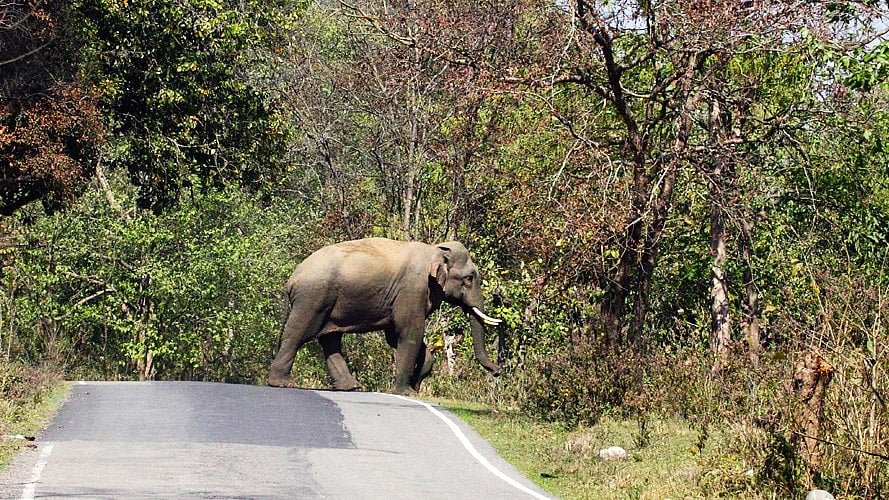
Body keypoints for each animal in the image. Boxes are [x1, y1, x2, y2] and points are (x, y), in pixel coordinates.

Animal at [267, 237, 502, 395]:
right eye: (469, 278)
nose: (498, 372)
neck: (435, 249)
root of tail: (292, 280)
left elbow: (395, 337)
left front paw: (415, 386)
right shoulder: (412, 289)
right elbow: (409, 333)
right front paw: (405, 392)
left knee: (330, 339)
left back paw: (351, 387)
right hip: (313, 298)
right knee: (299, 334)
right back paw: (282, 383)